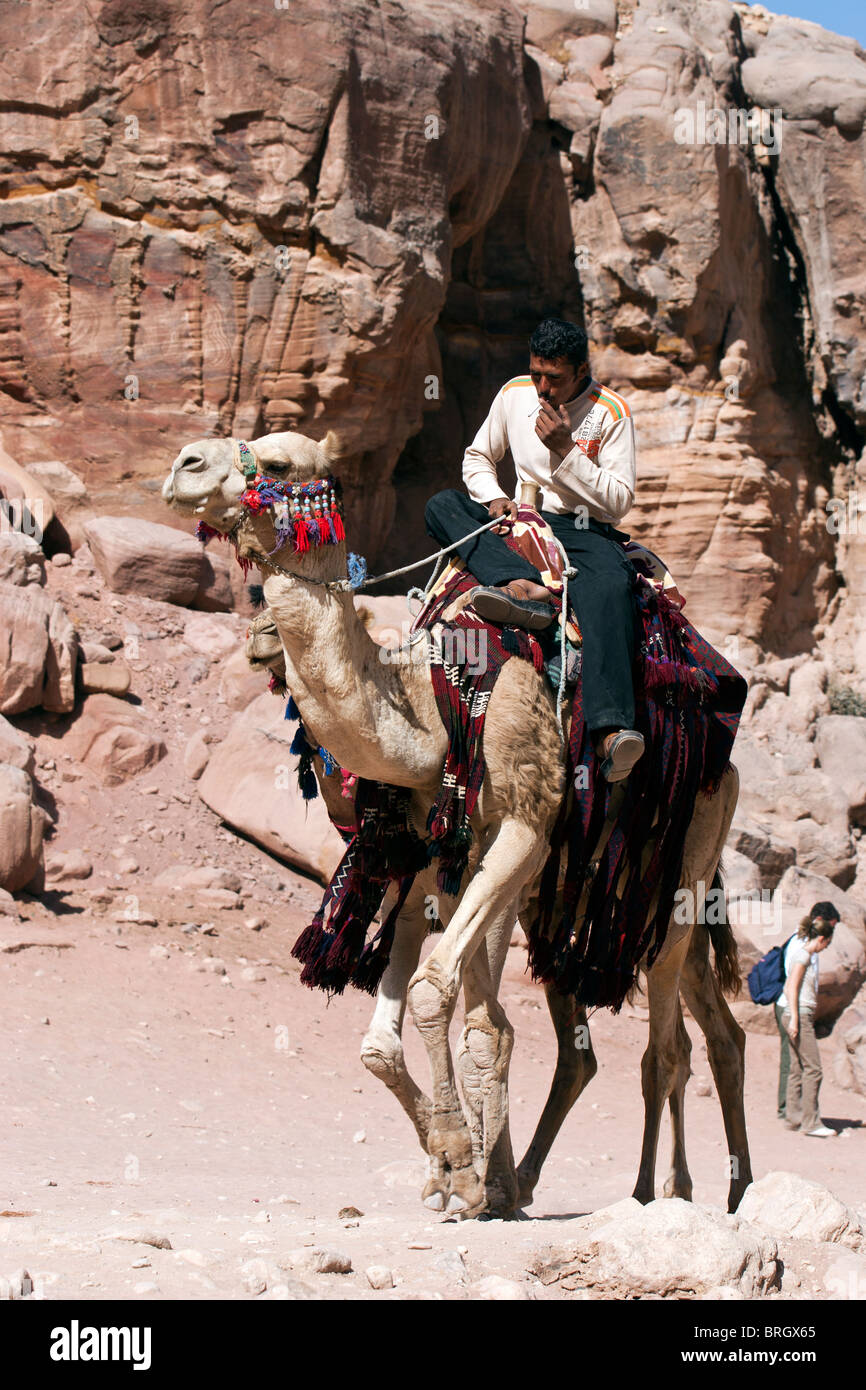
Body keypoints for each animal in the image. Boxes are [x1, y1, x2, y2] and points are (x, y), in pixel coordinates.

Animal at [164, 429, 753, 1216]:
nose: (184, 465)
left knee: (666, 1041)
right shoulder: (428, 856)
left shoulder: (523, 828)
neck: (432, 704)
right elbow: (410, 1036)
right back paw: (693, 1185)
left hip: (683, 857)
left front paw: (462, 1167)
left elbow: (442, 997)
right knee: (681, 1035)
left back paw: (661, 1194)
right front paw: (462, 1171)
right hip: (595, 892)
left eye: (280, 462)